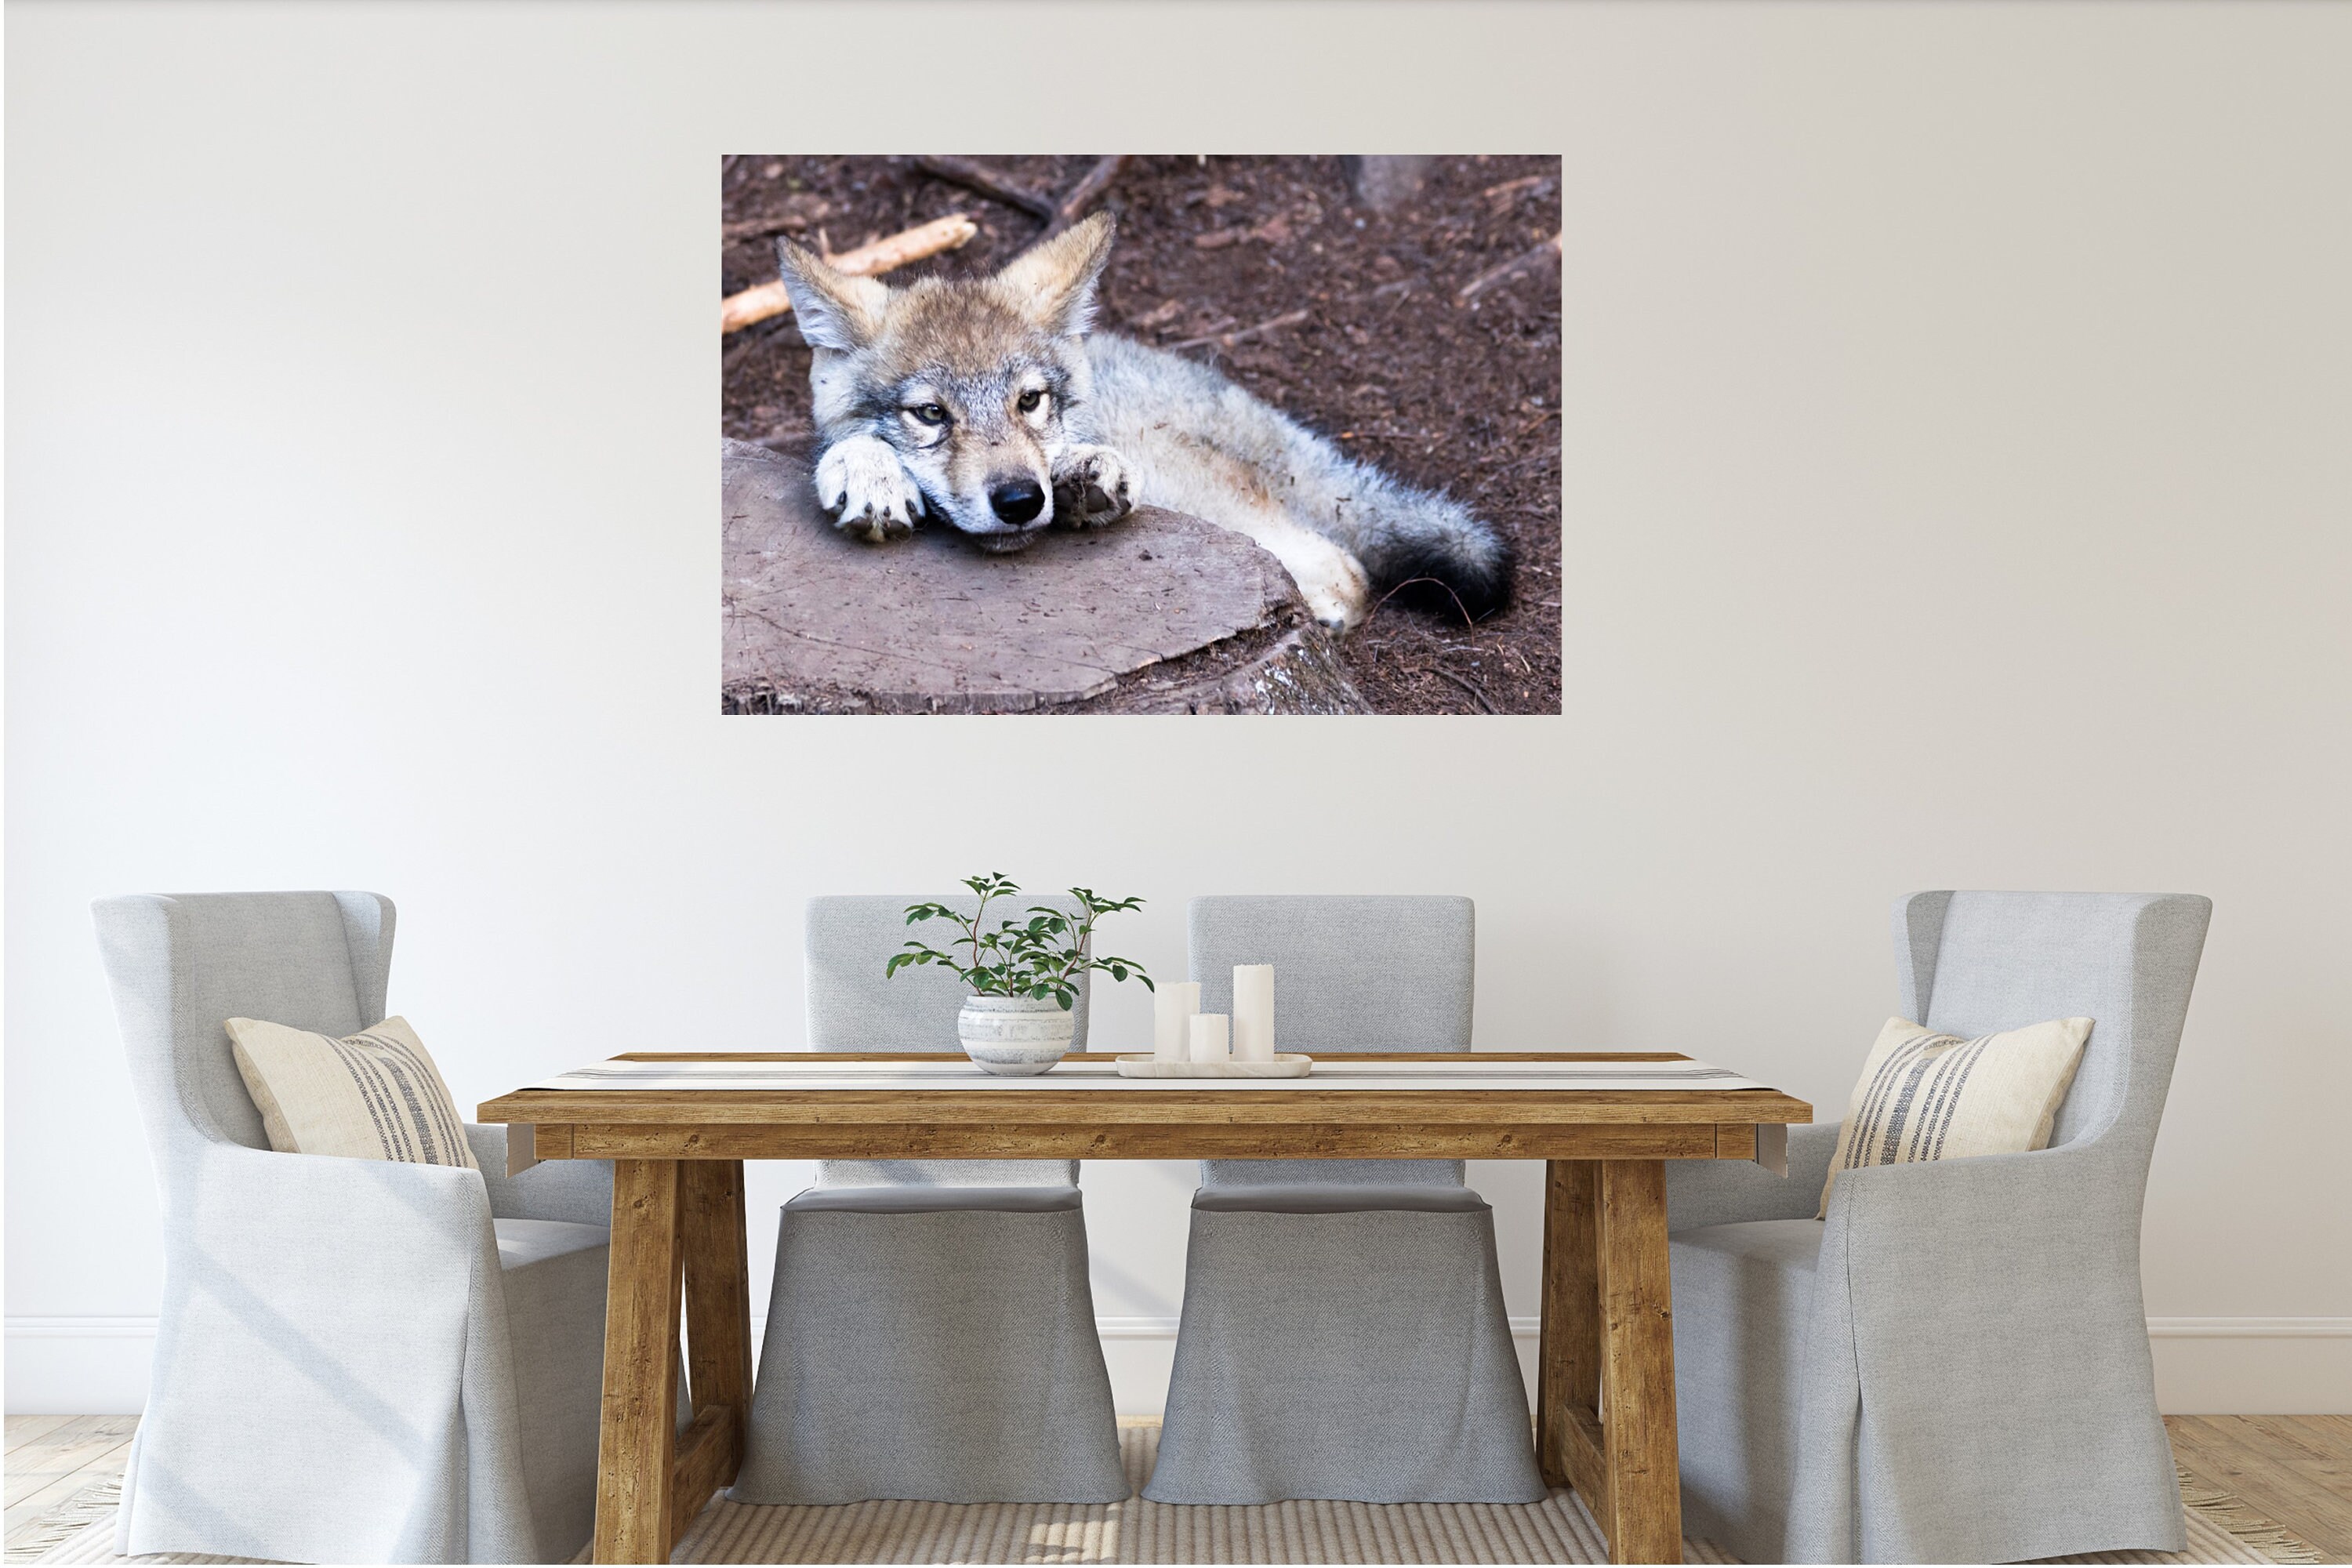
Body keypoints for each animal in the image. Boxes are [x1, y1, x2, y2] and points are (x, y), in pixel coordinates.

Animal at [773, 213, 1511, 630]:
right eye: (931, 414)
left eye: (1029, 402)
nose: (1020, 502)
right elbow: (848, 444)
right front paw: (868, 473)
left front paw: (1082, 474)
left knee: (1344, 569)